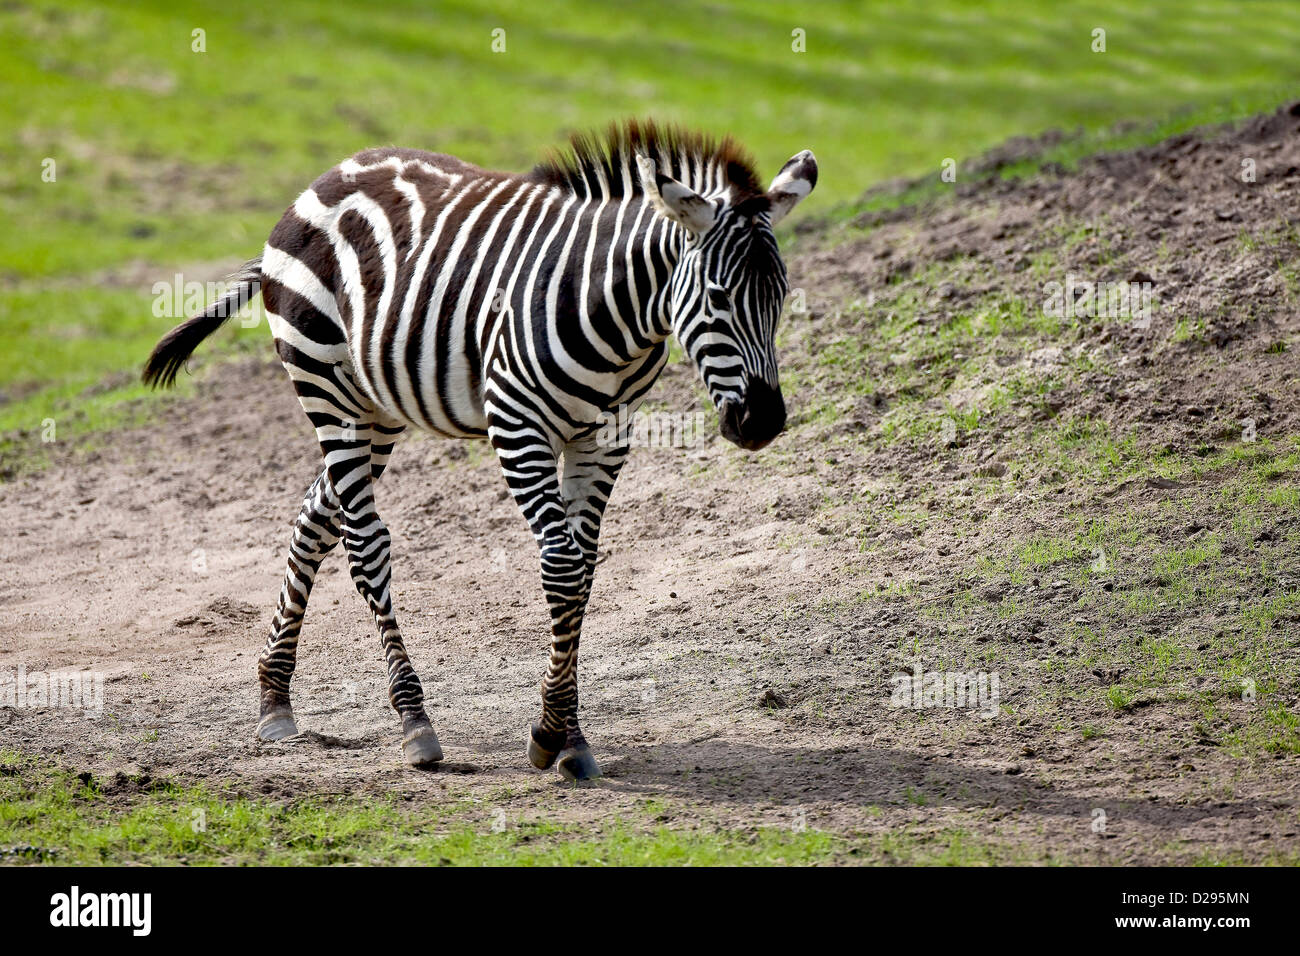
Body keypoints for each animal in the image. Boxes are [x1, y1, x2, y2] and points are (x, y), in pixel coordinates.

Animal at [143, 120, 817, 780]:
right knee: (365, 544)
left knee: (317, 517)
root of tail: (323, 181)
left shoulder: (603, 439)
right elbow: (561, 568)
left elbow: (582, 573)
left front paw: (567, 736)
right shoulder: (518, 427)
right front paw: (552, 734)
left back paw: (275, 698)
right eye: (718, 296)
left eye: (782, 295)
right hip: (326, 387)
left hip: (376, 410)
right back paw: (414, 722)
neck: (614, 313)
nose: (762, 422)